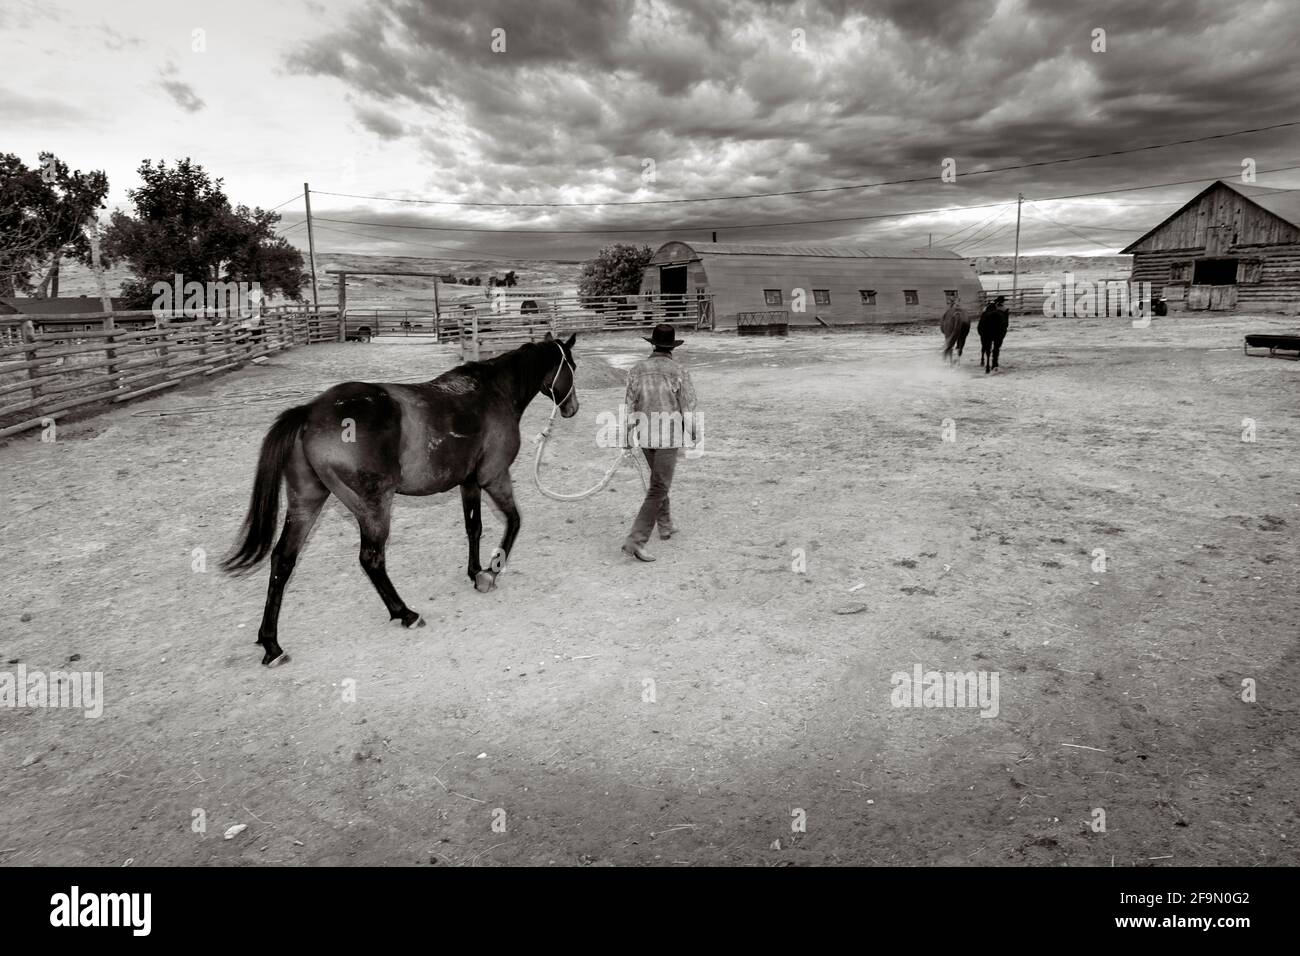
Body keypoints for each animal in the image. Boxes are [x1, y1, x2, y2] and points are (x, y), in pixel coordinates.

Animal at [220, 332, 579, 666]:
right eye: (572, 367)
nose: (572, 408)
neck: (493, 393)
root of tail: (308, 413)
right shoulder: (494, 477)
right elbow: (514, 521)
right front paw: (490, 573)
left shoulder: (470, 483)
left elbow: (473, 528)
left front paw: (475, 570)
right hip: (374, 506)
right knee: (371, 559)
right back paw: (404, 612)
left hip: (306, 501)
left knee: (283, 559)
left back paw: (271, 643)